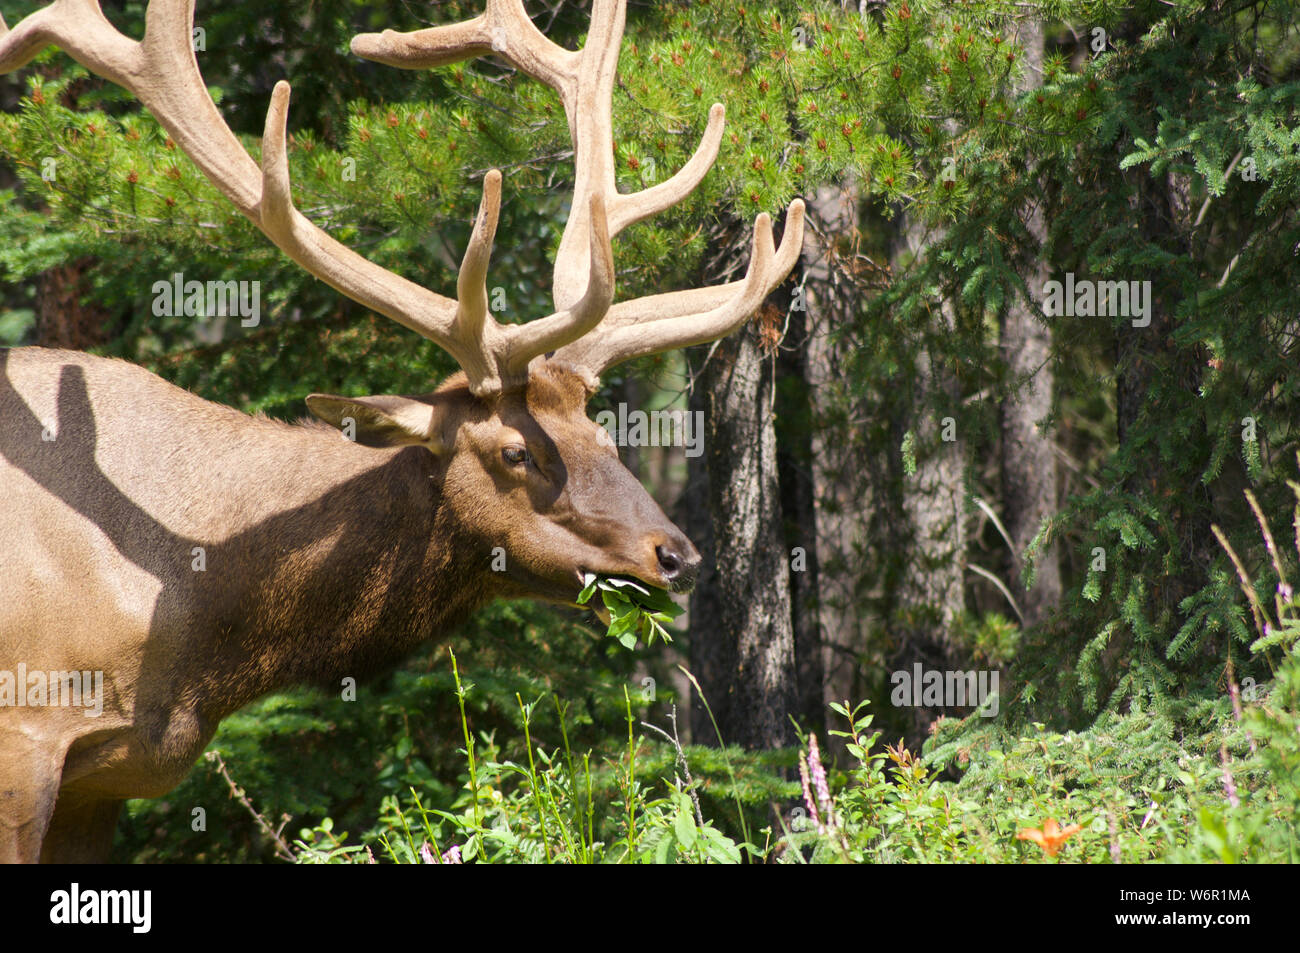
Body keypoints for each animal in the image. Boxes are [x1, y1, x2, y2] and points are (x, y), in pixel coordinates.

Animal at [0, 0, 803, 863]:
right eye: (515, 450)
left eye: (603, 435)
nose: (677, 555)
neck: (194, 616)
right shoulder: (27, 729)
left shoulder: (104, 783)